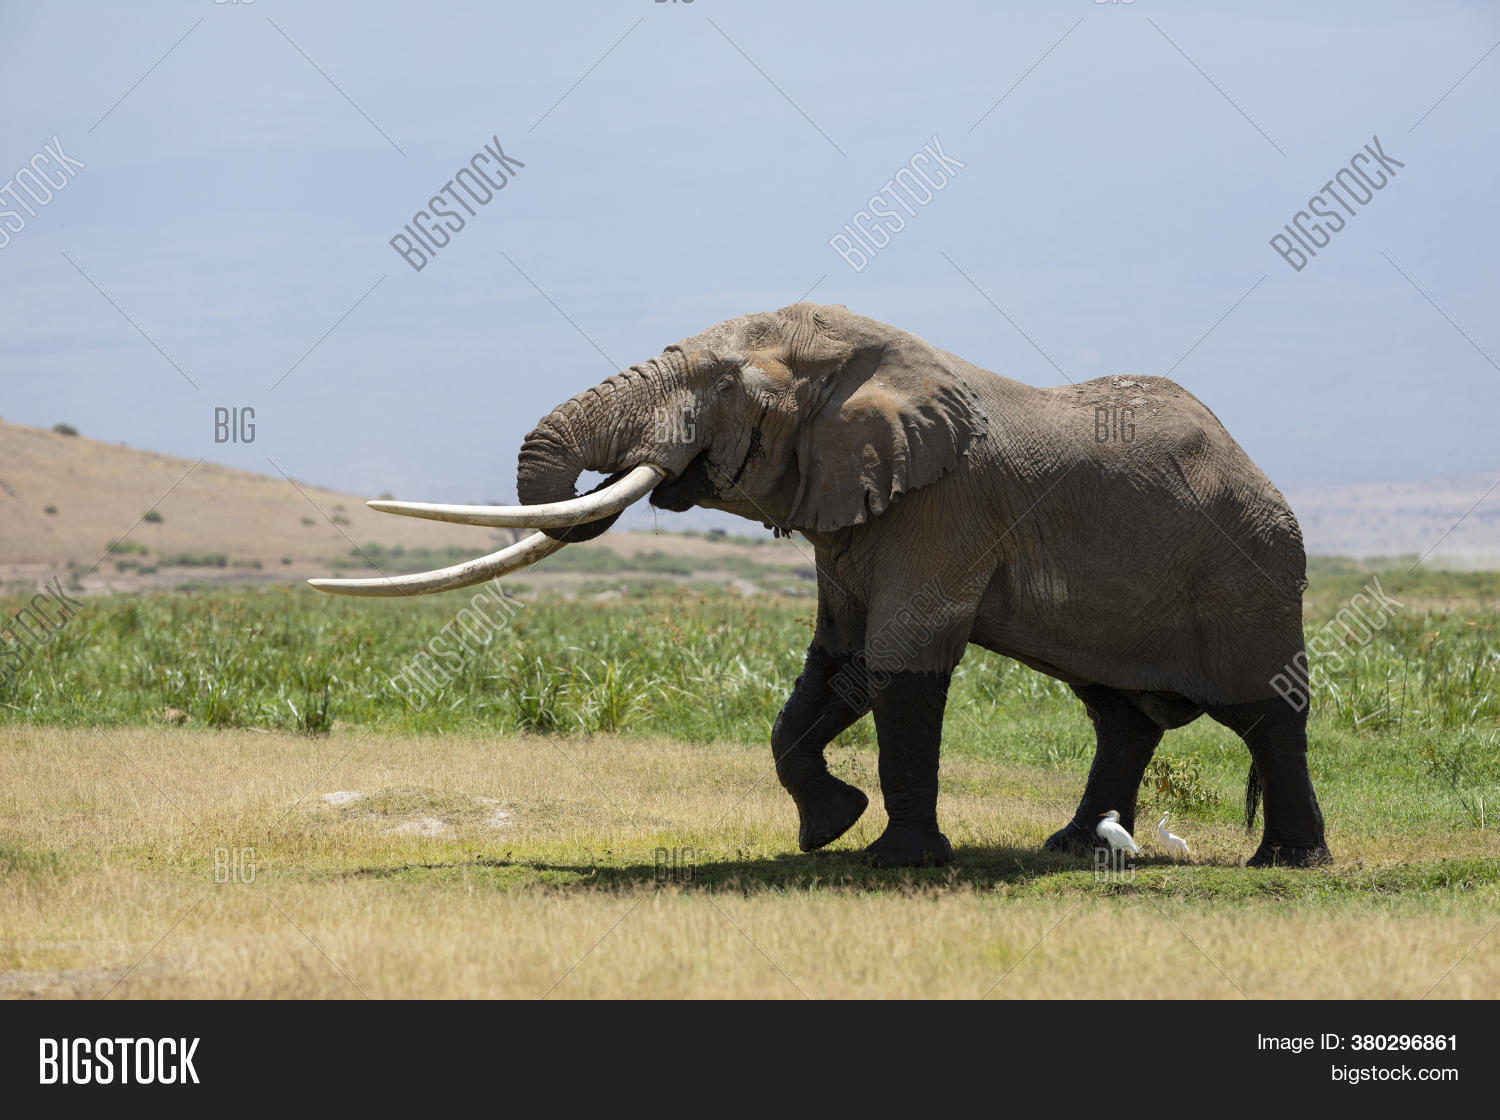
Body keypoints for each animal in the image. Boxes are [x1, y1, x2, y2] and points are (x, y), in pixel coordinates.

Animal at [312, 302, 1330, 870]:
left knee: (1268, 714)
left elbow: (902, 664)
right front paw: (826, 831)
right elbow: (835, 667)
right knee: (1118, 716)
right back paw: (1072, 849)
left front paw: (896, 861)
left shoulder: (945, 508)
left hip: (1252, 574)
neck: (877, 357)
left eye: (724, 386)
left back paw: (1290, 861)